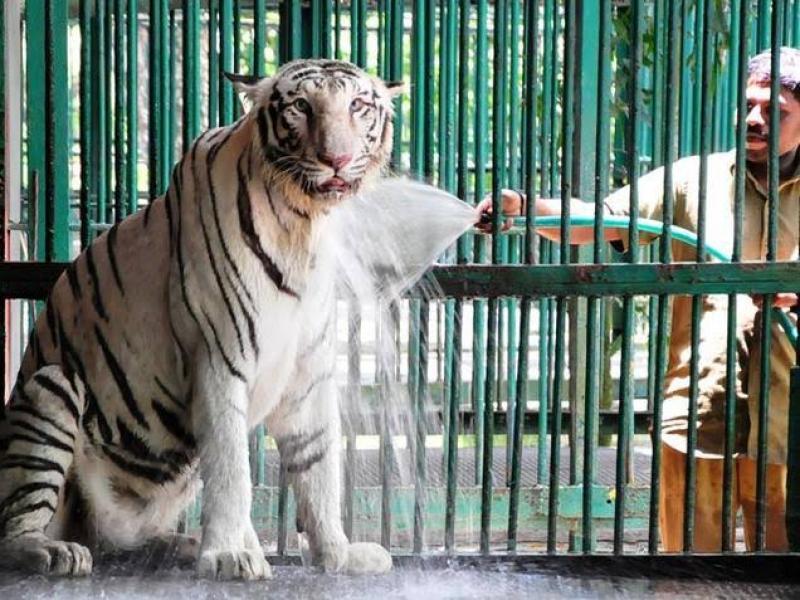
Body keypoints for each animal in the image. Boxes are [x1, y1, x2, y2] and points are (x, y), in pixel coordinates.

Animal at [0, 59, 417, 580]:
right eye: (302, 106)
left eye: (358, 105)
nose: (337, 159)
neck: (304, 224)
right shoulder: (220, 358)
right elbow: (233, 472)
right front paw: (225, 555)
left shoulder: (309, 372)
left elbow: (319, 465)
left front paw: (338, 555)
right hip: (50, 387)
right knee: (14, 530)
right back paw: (53, 551)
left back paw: (177, 544)